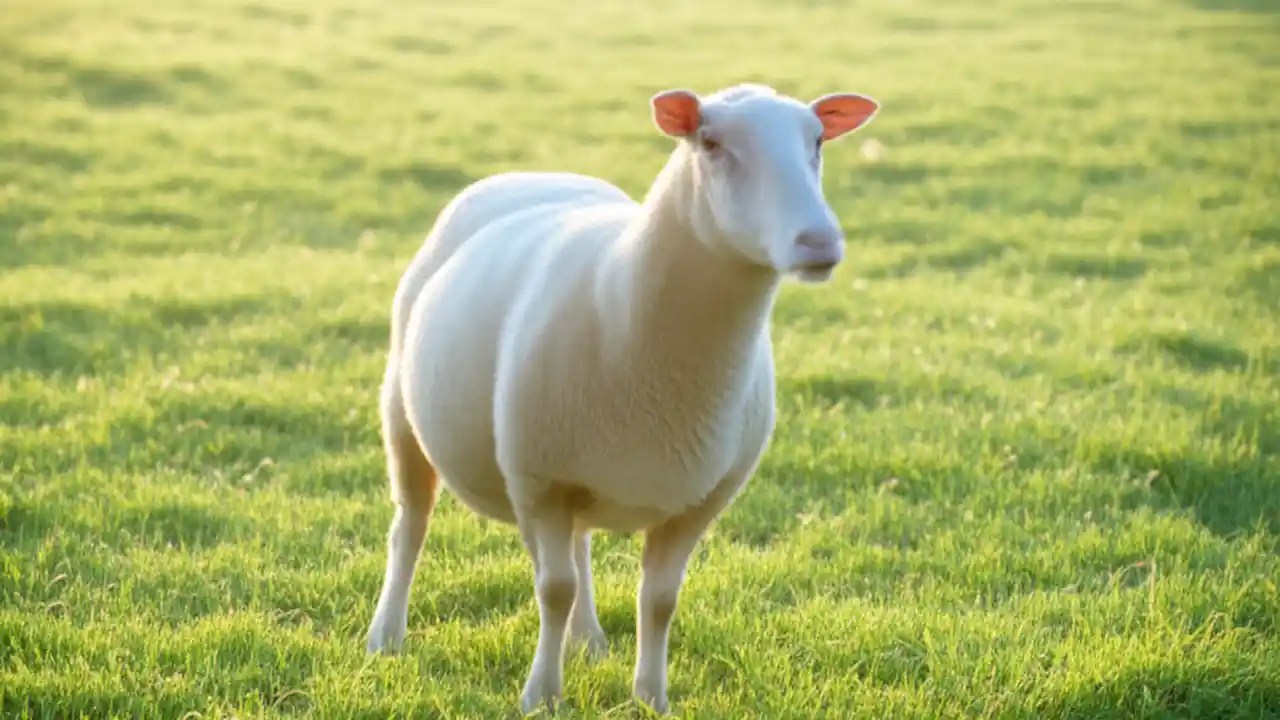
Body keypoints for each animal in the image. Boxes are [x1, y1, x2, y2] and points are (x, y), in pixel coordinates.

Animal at [364, 83, 880, 714]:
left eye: (818, 141)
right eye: (710, 142)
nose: (819, 242)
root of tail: (535, 173)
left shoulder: (697, 501)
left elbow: (658, 600)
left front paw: (651, 698)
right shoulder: (540, 480)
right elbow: (553, 590)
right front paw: (541, 696)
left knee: (579, 548)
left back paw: (588, 640)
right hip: (404, 411)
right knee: (411, 527)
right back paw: (386, 636)